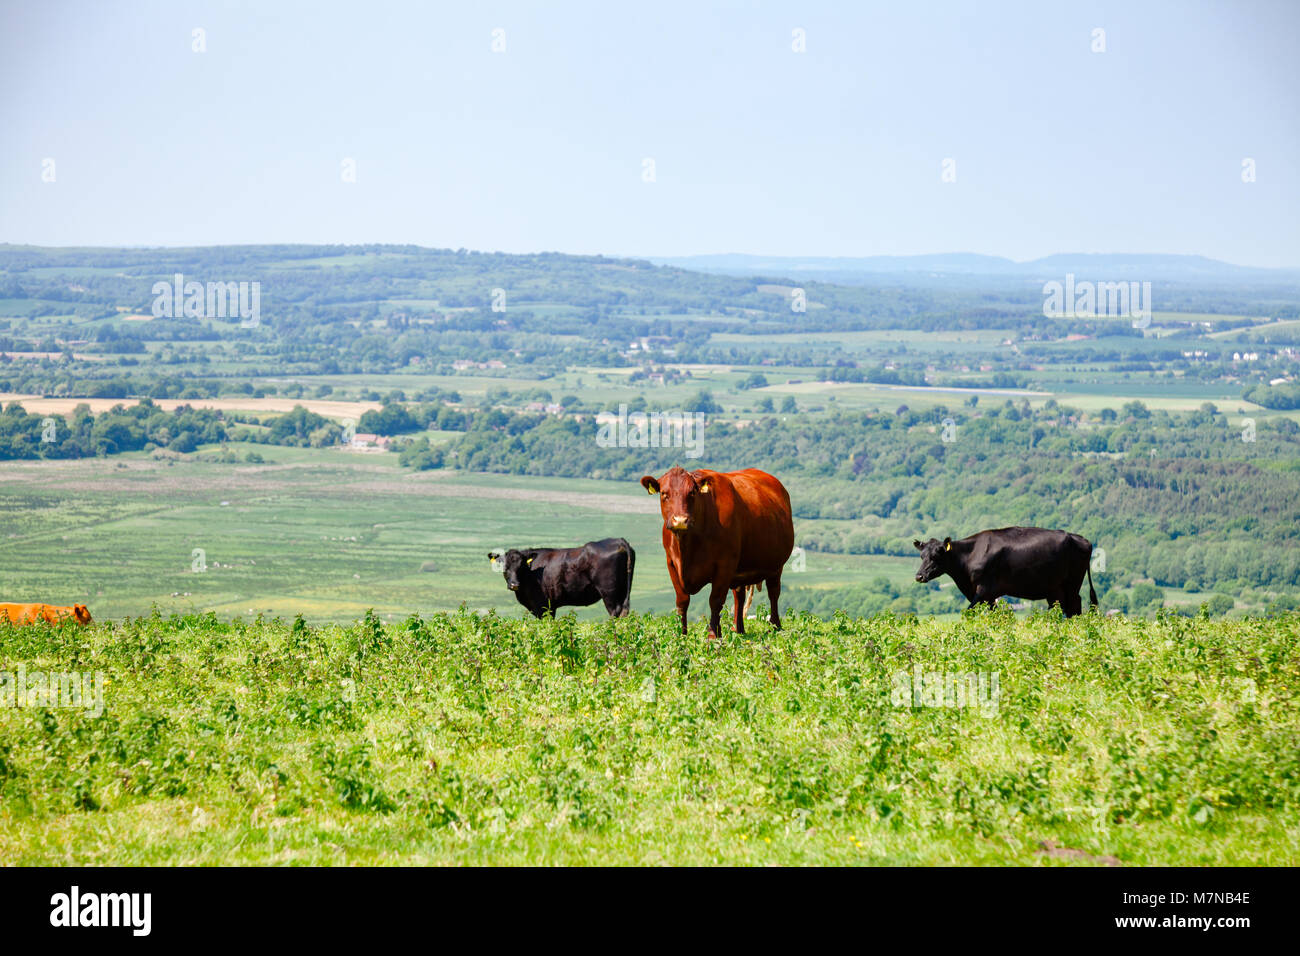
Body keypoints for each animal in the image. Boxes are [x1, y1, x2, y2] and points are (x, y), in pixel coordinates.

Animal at [488, 537, 635, 619]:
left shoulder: (542, 606)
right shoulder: (551, 606)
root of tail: (619, 541)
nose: (514, 584)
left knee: (615, 613)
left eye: (521, 566)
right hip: (623, 590)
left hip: (609, 593)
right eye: (504, 567)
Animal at [640, 466, 794, 639]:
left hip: (776, 565)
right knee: (739, 596)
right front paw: (682, 634)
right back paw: (737, 628)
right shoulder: (671, 563)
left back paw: (775, 626)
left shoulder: (725, 564)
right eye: (664, 493)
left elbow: (715, 600)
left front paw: (713, 635)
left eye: (692, 492)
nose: (680, 520)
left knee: (773, 593)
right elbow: (682, 601)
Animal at [913, 527, 1097, 617]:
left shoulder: (983, 590)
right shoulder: (988, 596)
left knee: (1074, 607)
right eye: (922, 556)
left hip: (1072, 584)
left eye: (936, 555)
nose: (919, 576)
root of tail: (1082, 539)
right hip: (1055, 590)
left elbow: (968, 613)